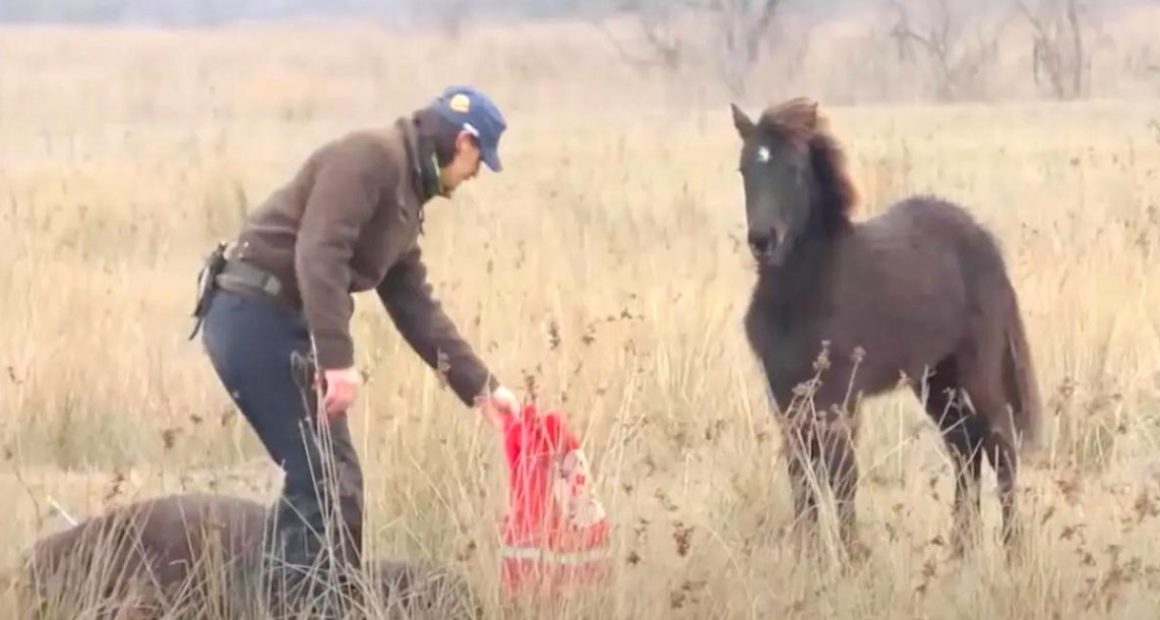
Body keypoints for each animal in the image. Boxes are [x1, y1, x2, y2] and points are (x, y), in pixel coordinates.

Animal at [730, 97, 1042, 561]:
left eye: (795, 169)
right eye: (744, 167)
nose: (762, 239)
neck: (806, 288)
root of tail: (982, 237)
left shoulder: (840, 396)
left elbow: (842, 476)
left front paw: (852, 558)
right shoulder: (787, 396)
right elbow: (801, 475)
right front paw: (808, 558)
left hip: (976, 369)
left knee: (1000, 443)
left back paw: (1012, 548)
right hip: (935, 380)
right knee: (964, 448)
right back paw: (959, 551)